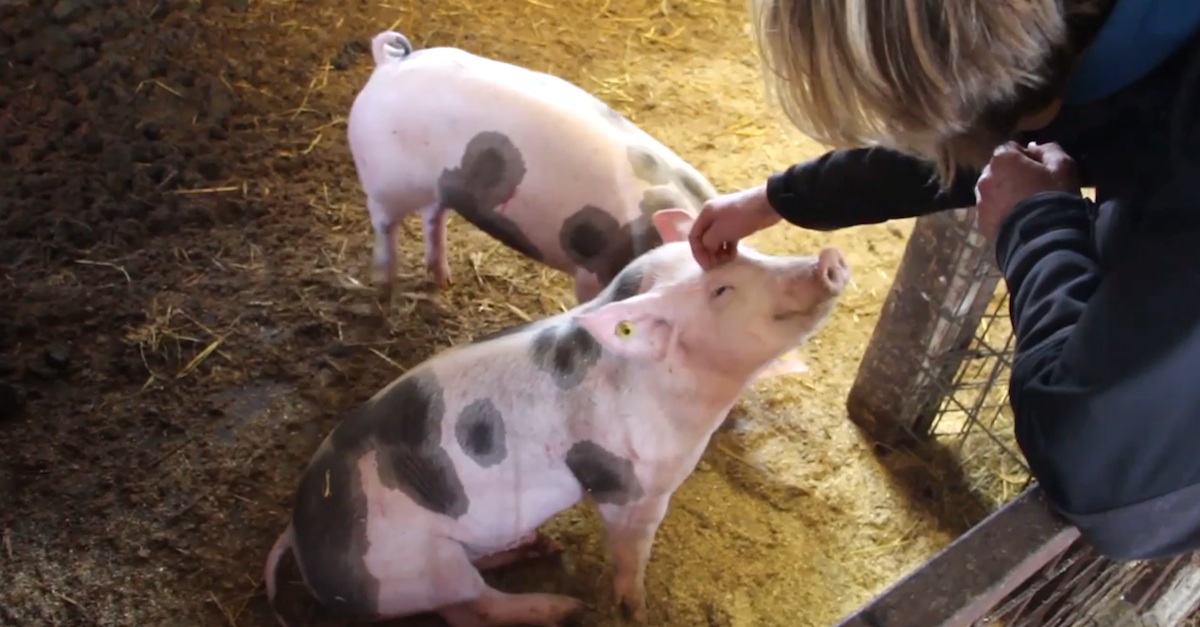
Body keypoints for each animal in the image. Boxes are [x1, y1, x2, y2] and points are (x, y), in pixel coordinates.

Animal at [264, 208, 850, 627]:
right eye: (722, 291)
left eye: (750, 249)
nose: (828, 260)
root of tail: (298, 536)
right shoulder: (626, 481)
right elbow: (631, 549)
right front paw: (634, 609)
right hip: (416, 565)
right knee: (470, 608)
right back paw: (562, 608)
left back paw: (536, 547)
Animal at [347, 30, 720, 307]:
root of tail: (390, 64)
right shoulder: (593, 275)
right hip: (383, 180)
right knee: (385, 226)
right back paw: (384, 289)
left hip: (440, 185)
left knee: (432, 218)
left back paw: (444, 282)